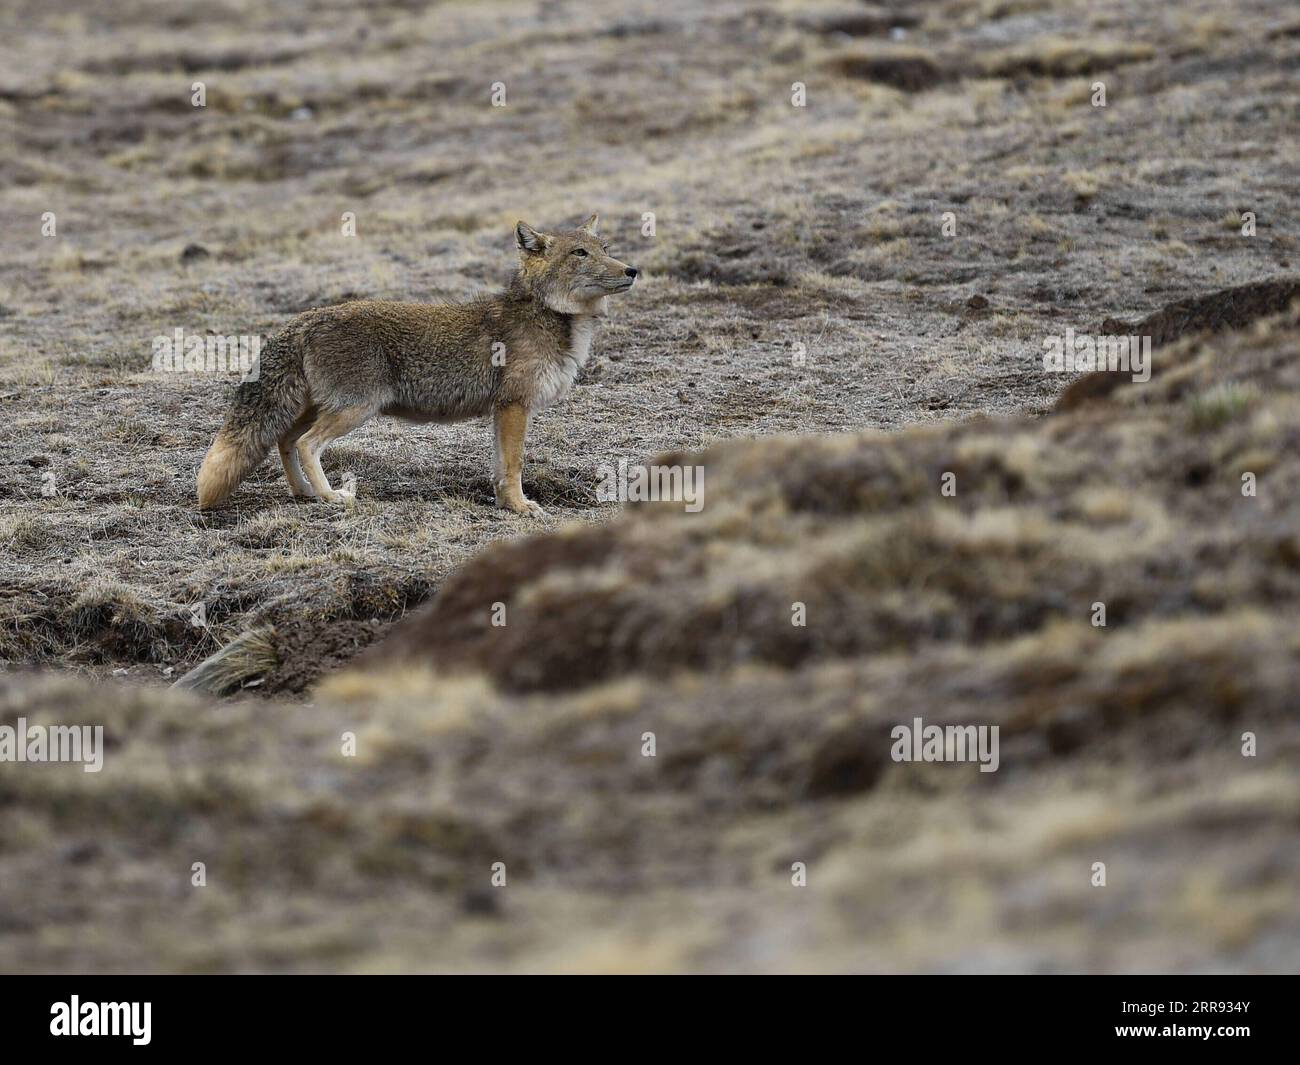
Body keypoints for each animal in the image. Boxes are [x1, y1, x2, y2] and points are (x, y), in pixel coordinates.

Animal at [196, 214, 637, 515]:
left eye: (605, 248)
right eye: (580, 253)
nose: (632, 270)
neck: (552, 317)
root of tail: (306, 318)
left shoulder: (502, 410)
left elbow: (500, 466)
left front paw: (503, 503)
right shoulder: (514, 406)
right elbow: (514, 465)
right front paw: (519, 507)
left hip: (314, 409)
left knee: (284, 442)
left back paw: (303, 493)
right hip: (353, 410)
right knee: (306, 444)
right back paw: (330, 496)